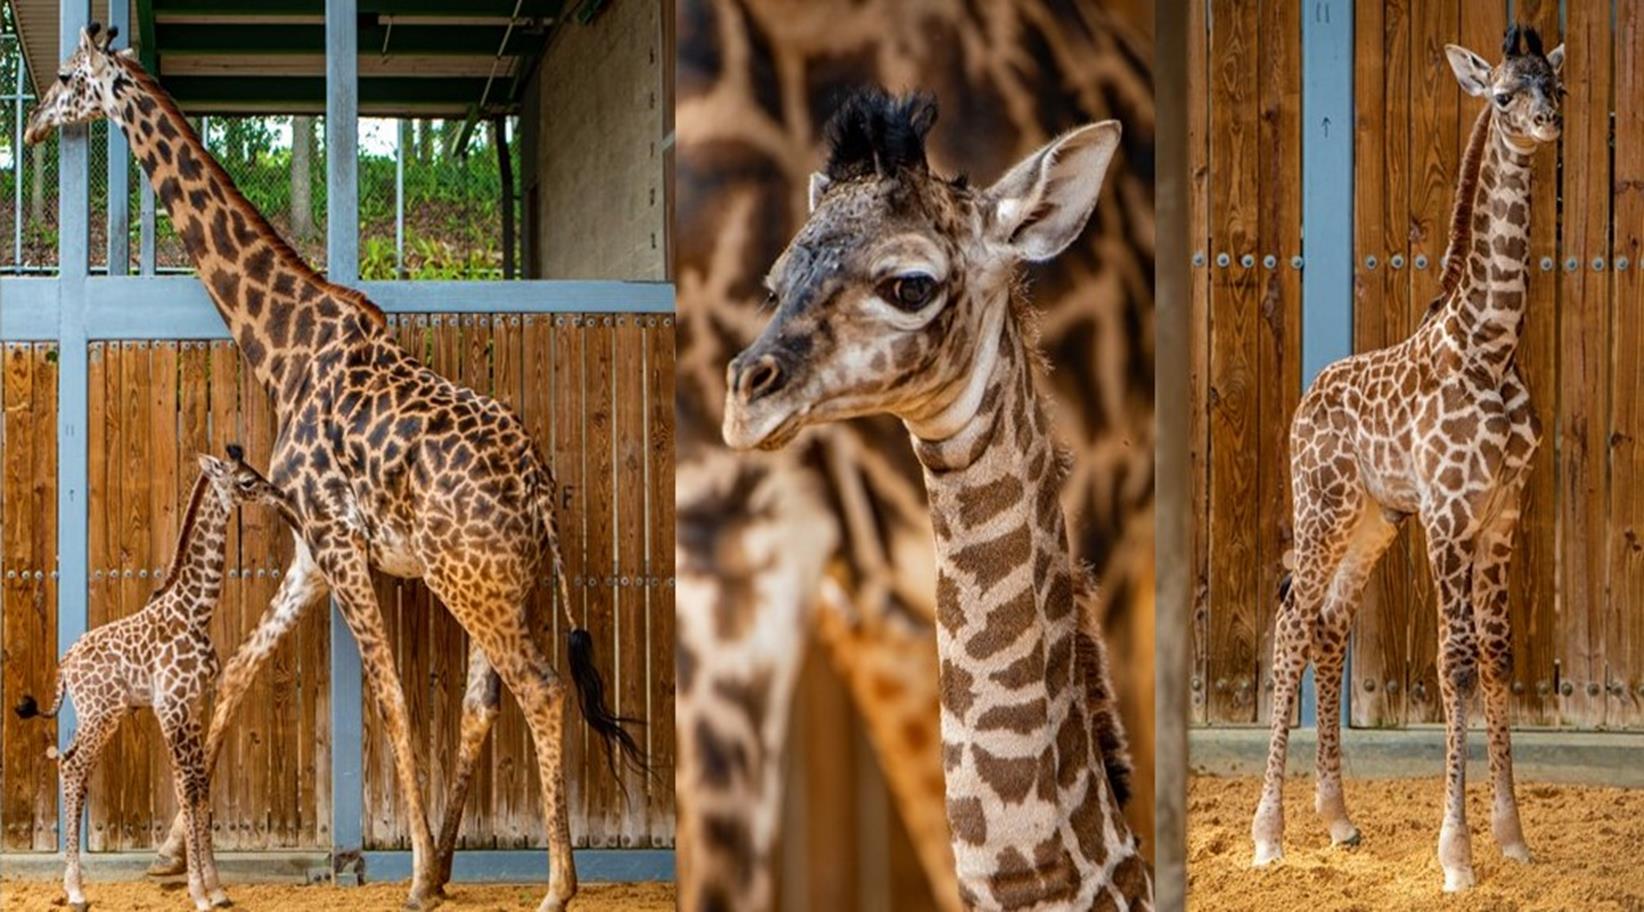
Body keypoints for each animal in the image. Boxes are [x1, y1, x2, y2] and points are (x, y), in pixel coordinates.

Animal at [12, 446, 286, 912]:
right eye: (247, 481)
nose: (278, 494)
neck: (195, 611)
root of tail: (64, 665)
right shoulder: (170, 706)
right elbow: (186, 786)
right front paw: (199, 892)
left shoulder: (192, 706)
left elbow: (198, 782)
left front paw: (217, 889)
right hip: (101, 713)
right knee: (72, 766)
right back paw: (75, 890)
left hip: (101, 714)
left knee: (74, 765)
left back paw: (75, 887)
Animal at [1249, 25, 1564, 893]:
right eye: (1503, 93)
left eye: (1556, 83)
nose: (1546, 124)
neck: (1491, 347)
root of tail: (1305, 396)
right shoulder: (1450, 514)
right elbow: (1452, 661)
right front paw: (1456, 854)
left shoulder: (1505, 511)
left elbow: (1496, 655)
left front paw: (1513, 838)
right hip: (1321, 505)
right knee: (1291, 622)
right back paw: (1268, 835)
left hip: (1374, 519)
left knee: (1328, 624)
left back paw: (1338, 820)